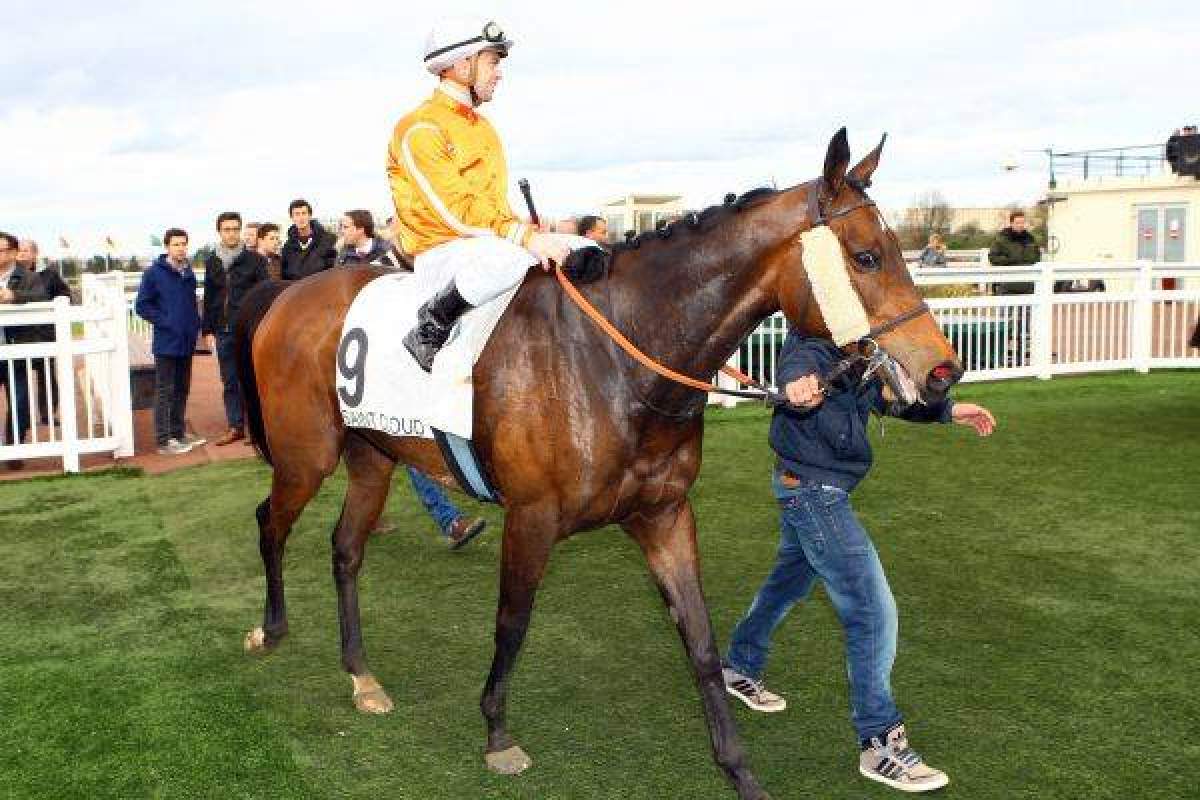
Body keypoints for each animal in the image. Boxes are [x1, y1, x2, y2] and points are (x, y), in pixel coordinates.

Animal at [233, 129, 963, 799]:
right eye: (866, 256)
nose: (941, 370)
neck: (616, 359)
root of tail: (285, 293)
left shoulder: (664, 514)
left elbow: (701, 641)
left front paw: (739, 769)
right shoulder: (531, 518)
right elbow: (512, 623)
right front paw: (497, 734)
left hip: (373, 458)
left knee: (345, 549)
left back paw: (361, 675)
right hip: (307, 456)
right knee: (270, 521)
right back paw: (271, 629)